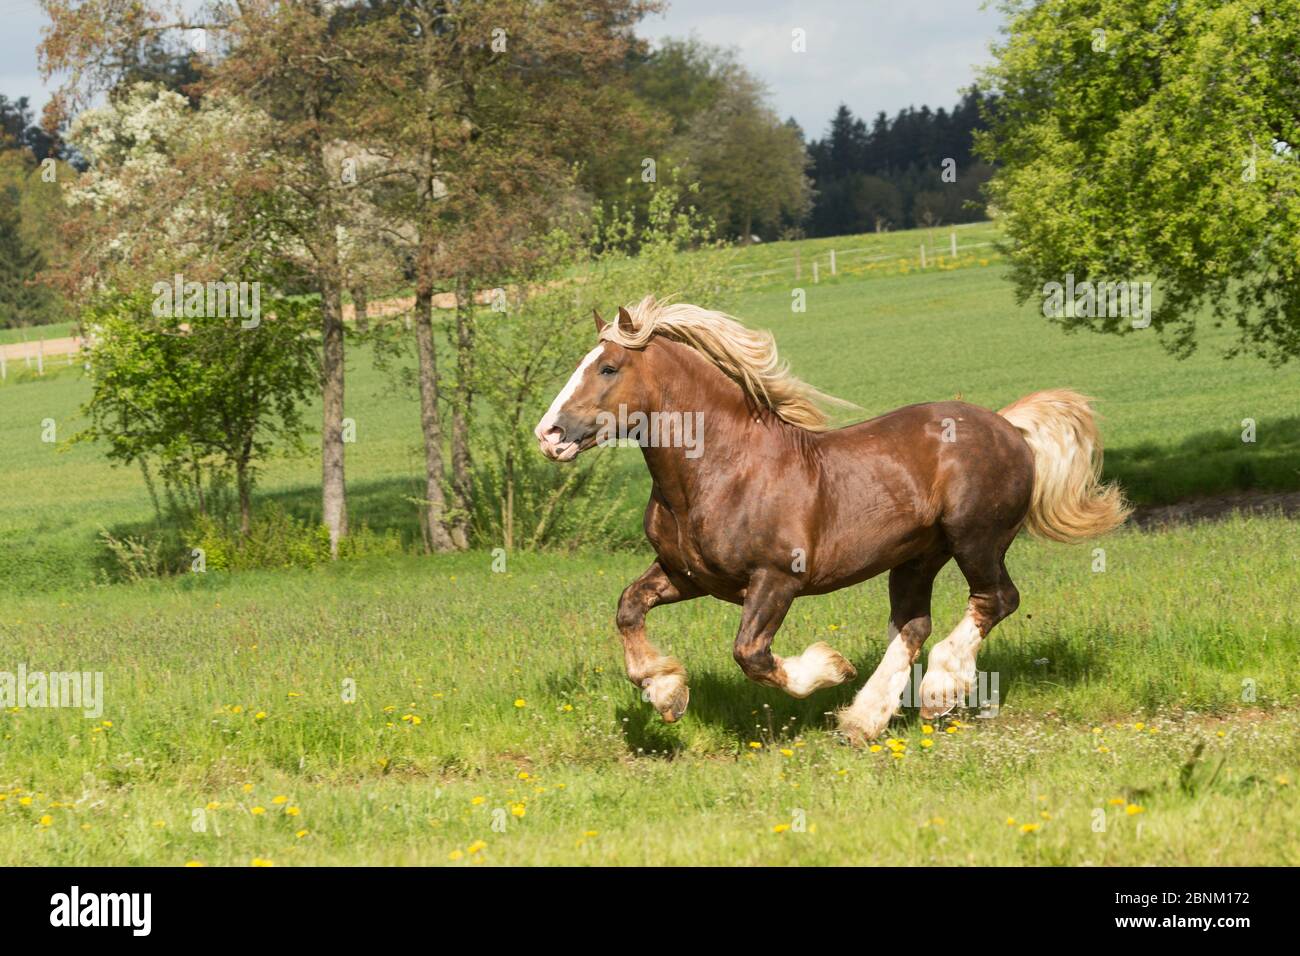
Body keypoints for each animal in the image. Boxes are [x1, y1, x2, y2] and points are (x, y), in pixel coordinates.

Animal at [534, 296, 1130, 742]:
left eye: (608, 367)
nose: (549, 435)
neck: (721, 471)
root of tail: (1010, 427)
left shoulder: (776, 579)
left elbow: (751, 654)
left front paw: (829, 667)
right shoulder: (688, 575)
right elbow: (628, 608)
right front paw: (666, 693)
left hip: (975, 539)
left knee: (995, 600)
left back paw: (939, 690)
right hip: (916, 556)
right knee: (913, 624)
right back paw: (863, 722)